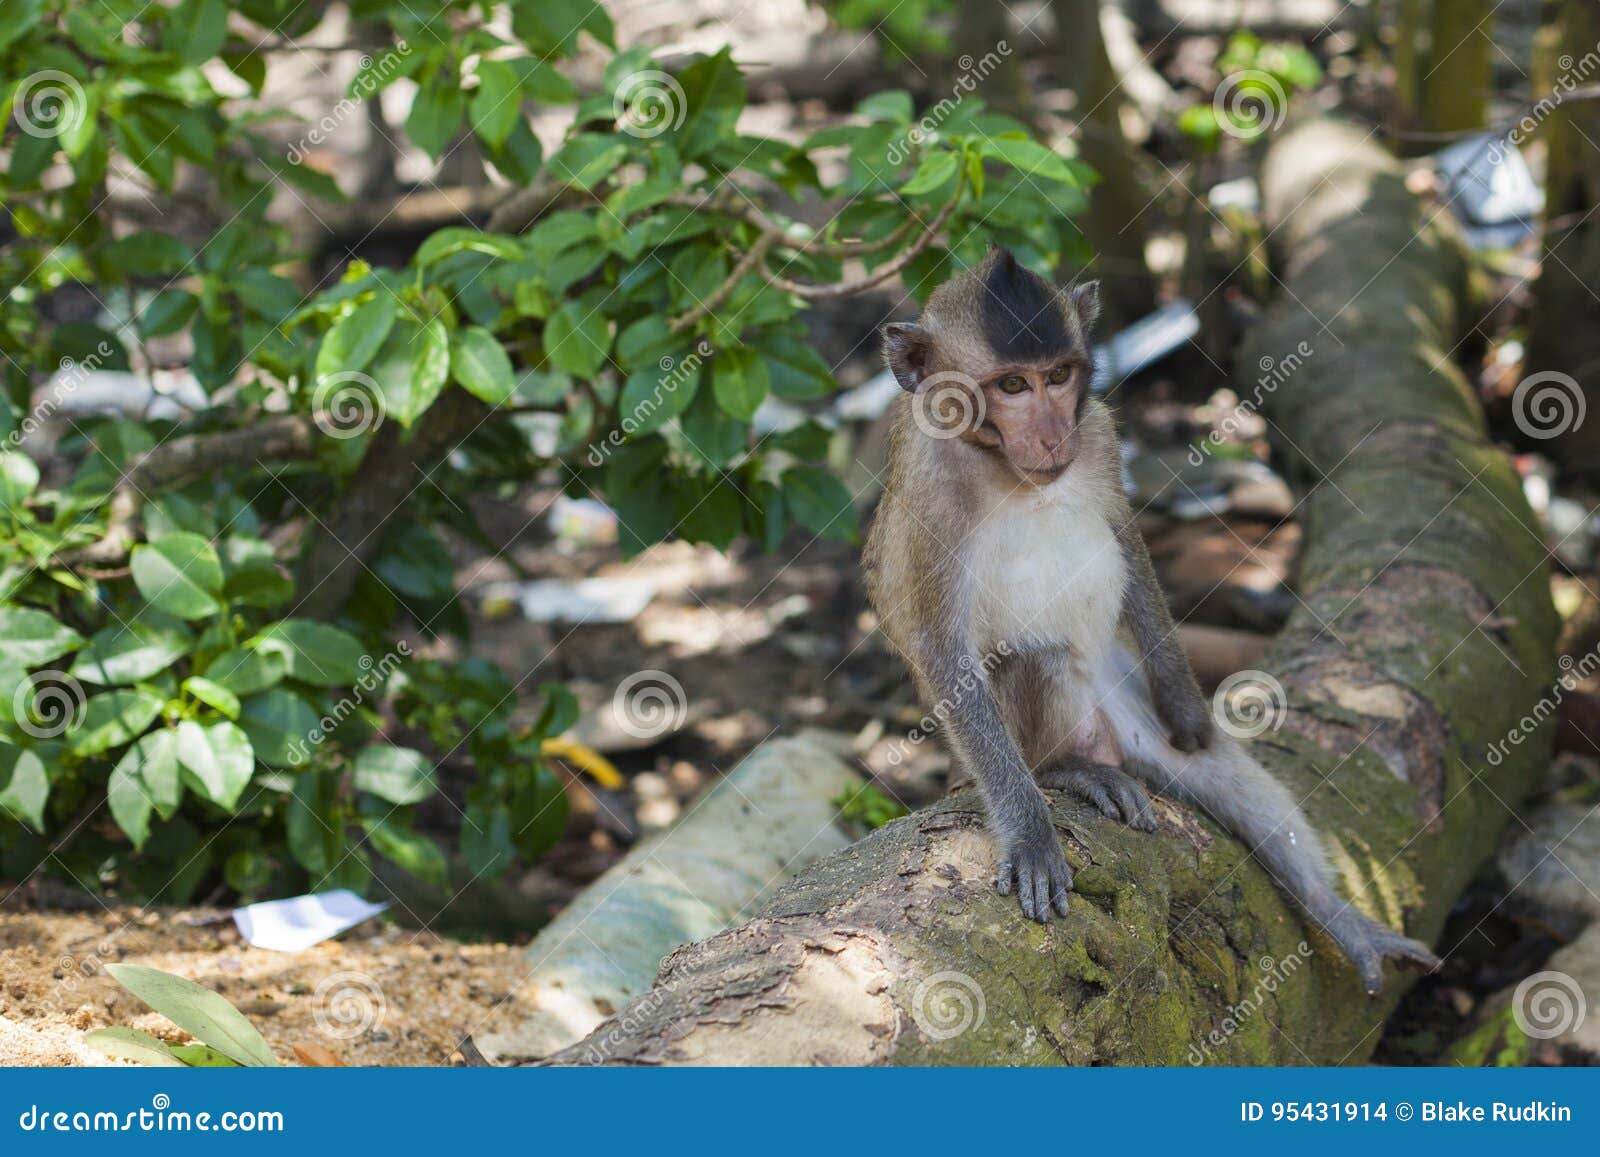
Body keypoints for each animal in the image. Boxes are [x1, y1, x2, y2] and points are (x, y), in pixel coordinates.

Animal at [862, 248, 1439, 994]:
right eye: (1012, 385)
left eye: (1058, 376)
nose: (1052, 434)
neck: (1000, 464)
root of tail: (1108, 737)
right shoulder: (932, 489)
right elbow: (938, 645)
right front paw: (1029, 831)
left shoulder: (1099, 435)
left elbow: (1126, 538)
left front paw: (1186, 701)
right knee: (1041, 661)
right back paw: (1068, 770)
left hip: (1130, 707)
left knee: (1223, 769)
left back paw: (1337, 914)